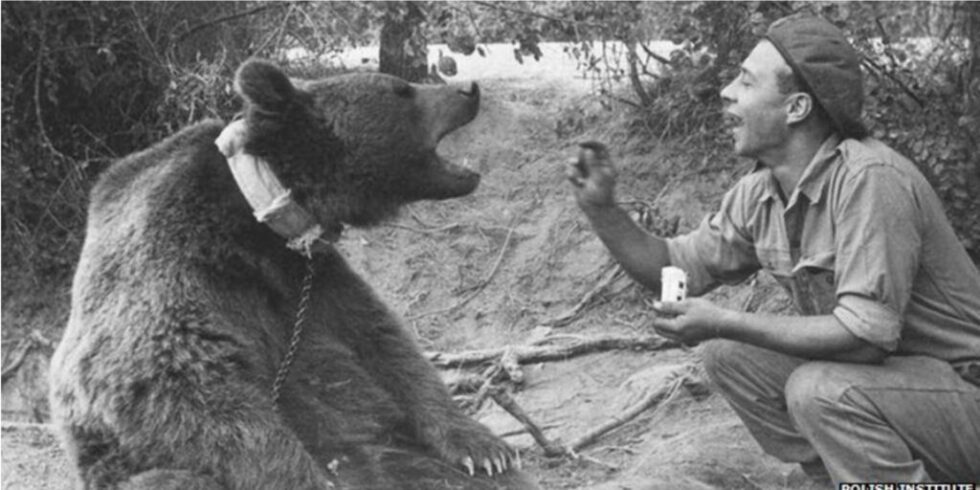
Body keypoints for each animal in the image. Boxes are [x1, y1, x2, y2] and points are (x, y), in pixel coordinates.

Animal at [49, 58, 539, 490]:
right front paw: (305, 476)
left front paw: (483, 447)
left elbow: (384, 344)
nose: (469, 89)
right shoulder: (174, 270)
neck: (264, 217)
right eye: (402, 90)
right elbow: (182, 384)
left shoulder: (314, 277)